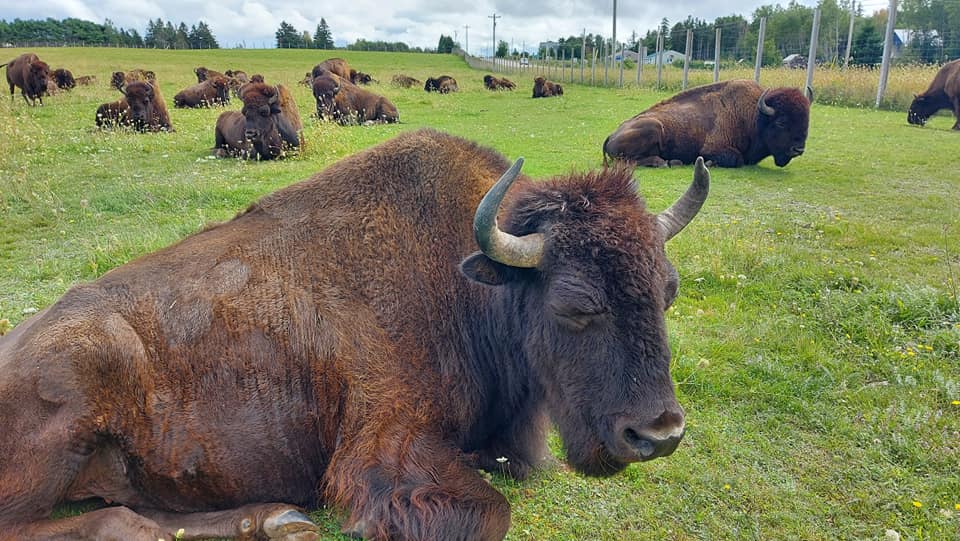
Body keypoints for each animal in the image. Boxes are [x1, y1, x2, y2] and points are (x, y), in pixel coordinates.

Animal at [0, 128, 707, 540]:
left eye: (667, 290)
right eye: (574, 305)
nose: (660, 434)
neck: (470, 282)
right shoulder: (385, 446)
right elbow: (485, 511)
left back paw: (277, 520)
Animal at [603, 79, 811, 168]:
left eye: (807, 120)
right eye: (782, 122)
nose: (799, 149)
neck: (754, 116)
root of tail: (610, 135)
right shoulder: (713, 148)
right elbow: (736, 159)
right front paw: (710, 163)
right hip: (654, 127)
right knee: (627, 161)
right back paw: (664, 162)